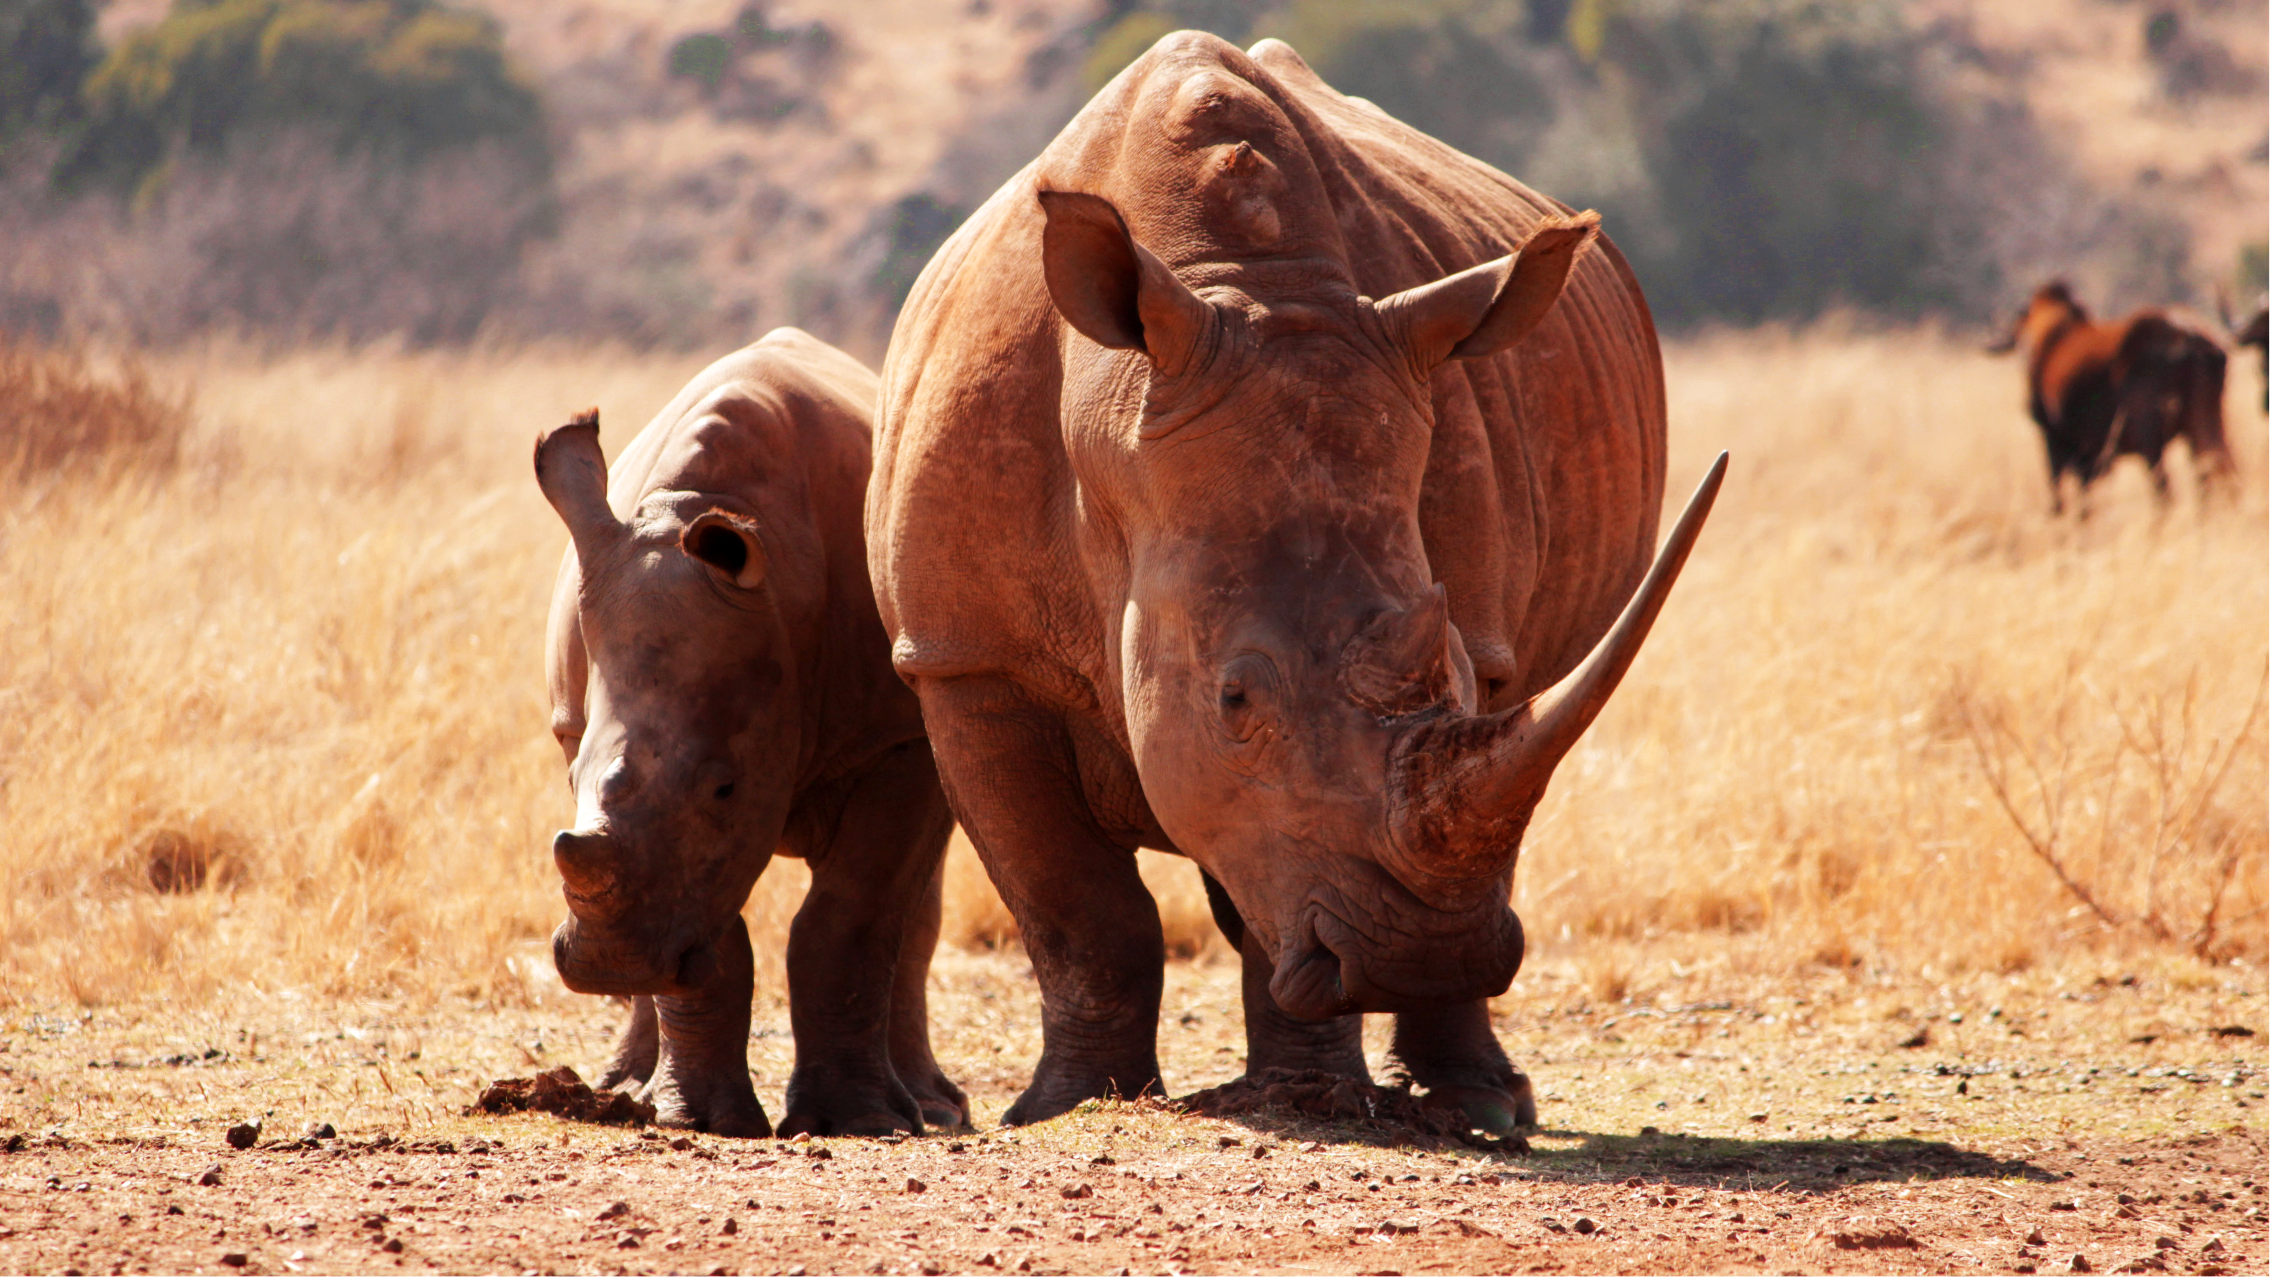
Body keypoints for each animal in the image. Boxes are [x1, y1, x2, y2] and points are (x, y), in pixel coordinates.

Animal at [536, 329, 966, 1137]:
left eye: (725, 788)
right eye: (570, 776)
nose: (610, 965)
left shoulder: (898, 739)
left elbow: (852, 914)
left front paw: (857, 1122)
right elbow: (709, 921)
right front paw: (697, 1120)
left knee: (913, 901)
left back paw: (930, 1108)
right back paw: (626, 1089)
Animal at [868, 33, 1723, 1130]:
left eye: (1456, 672)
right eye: (1235, 697)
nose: (1420, 956)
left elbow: (1271, 874)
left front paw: (1307, 1097)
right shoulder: (964, 658)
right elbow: (1075, 905)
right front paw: (1066, 1105)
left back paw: (1480, 1106)